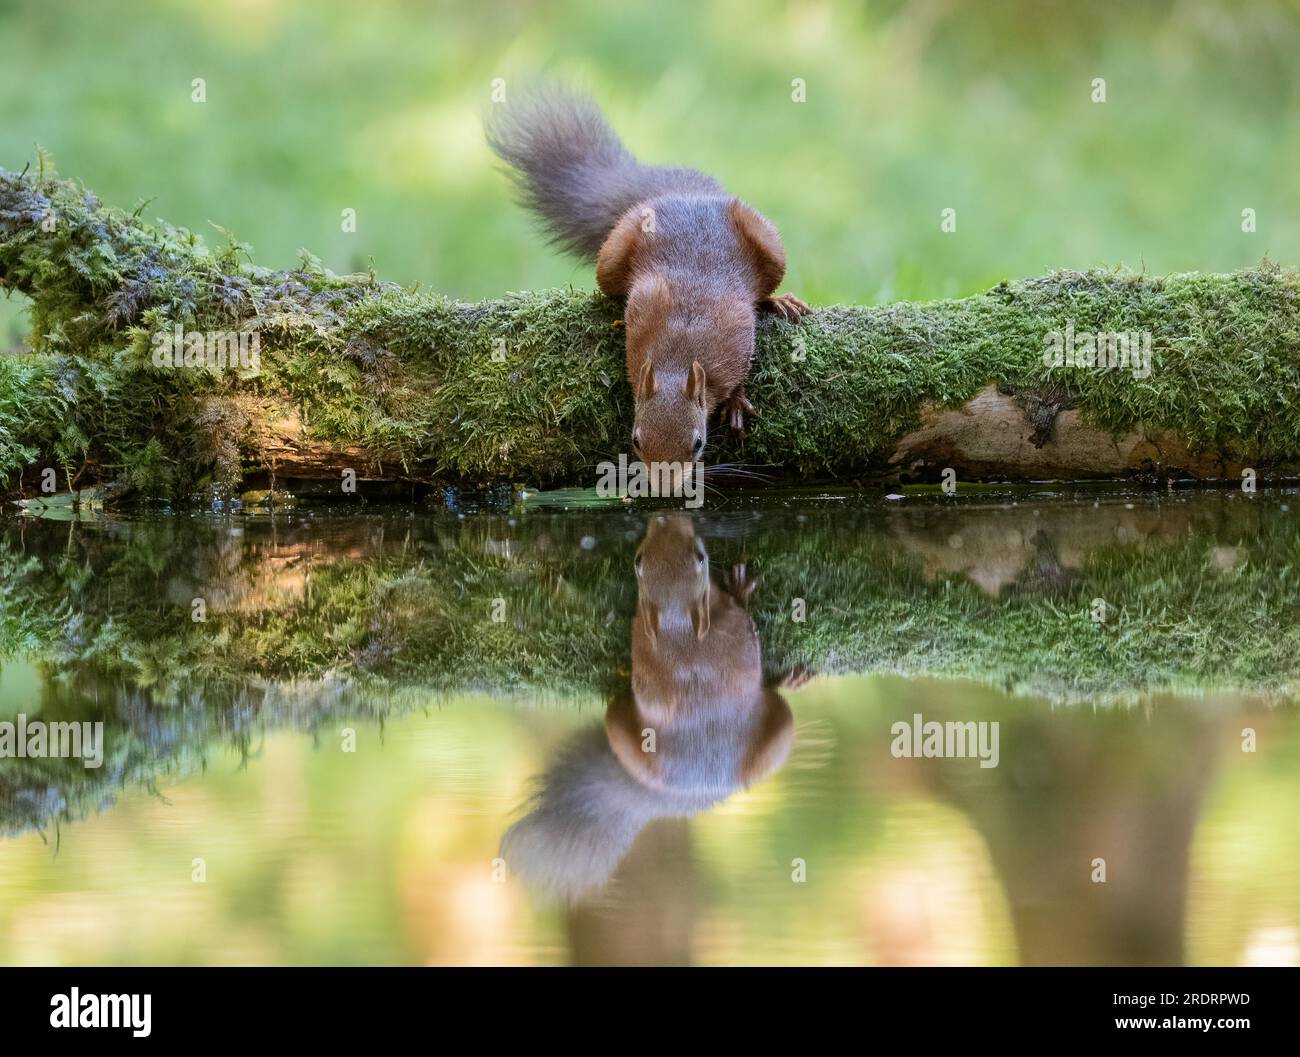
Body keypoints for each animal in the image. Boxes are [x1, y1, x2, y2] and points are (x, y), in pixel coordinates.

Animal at [486, 88, 810, 466]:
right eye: (637, 440)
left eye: (698, 443)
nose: (663, 480)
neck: (679, 352)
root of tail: (686, 194)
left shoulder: (735, 329)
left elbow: (742, 365)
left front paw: (736, 402)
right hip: (612, 257)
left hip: (769, 244)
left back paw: (780, 301)